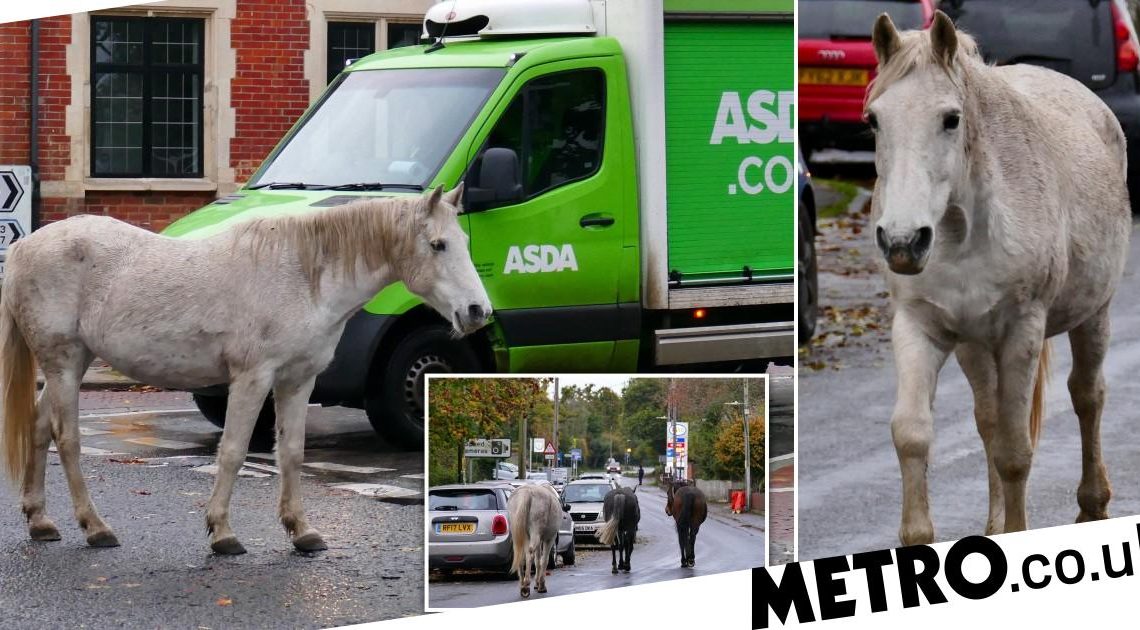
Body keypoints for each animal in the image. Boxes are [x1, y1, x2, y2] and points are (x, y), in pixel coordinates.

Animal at [0, 184, 490, 553]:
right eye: (437, 245)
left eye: (466, 243)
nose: (477, 311)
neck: (303, 275)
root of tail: (24, 247)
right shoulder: (253, 378)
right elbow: (234, 451)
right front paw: (222, 532)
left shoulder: (298, 381)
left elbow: (291, 452)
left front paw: (301, 530)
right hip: (64, 364)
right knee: (67, 439)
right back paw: (95, 527)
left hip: (71, 364)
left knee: (40, 428)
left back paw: (40, 521)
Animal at [870, 12, 1130, 542]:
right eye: (874, 120)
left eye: (951, 118)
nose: (903, 241)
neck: (963, 230)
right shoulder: (920, 327)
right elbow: (912, 434)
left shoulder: (1022, 331)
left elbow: (1015, 451)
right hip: (974, 345)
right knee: (987, 418)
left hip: (1094, 313)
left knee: (1087, 396)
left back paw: (1093, 504)